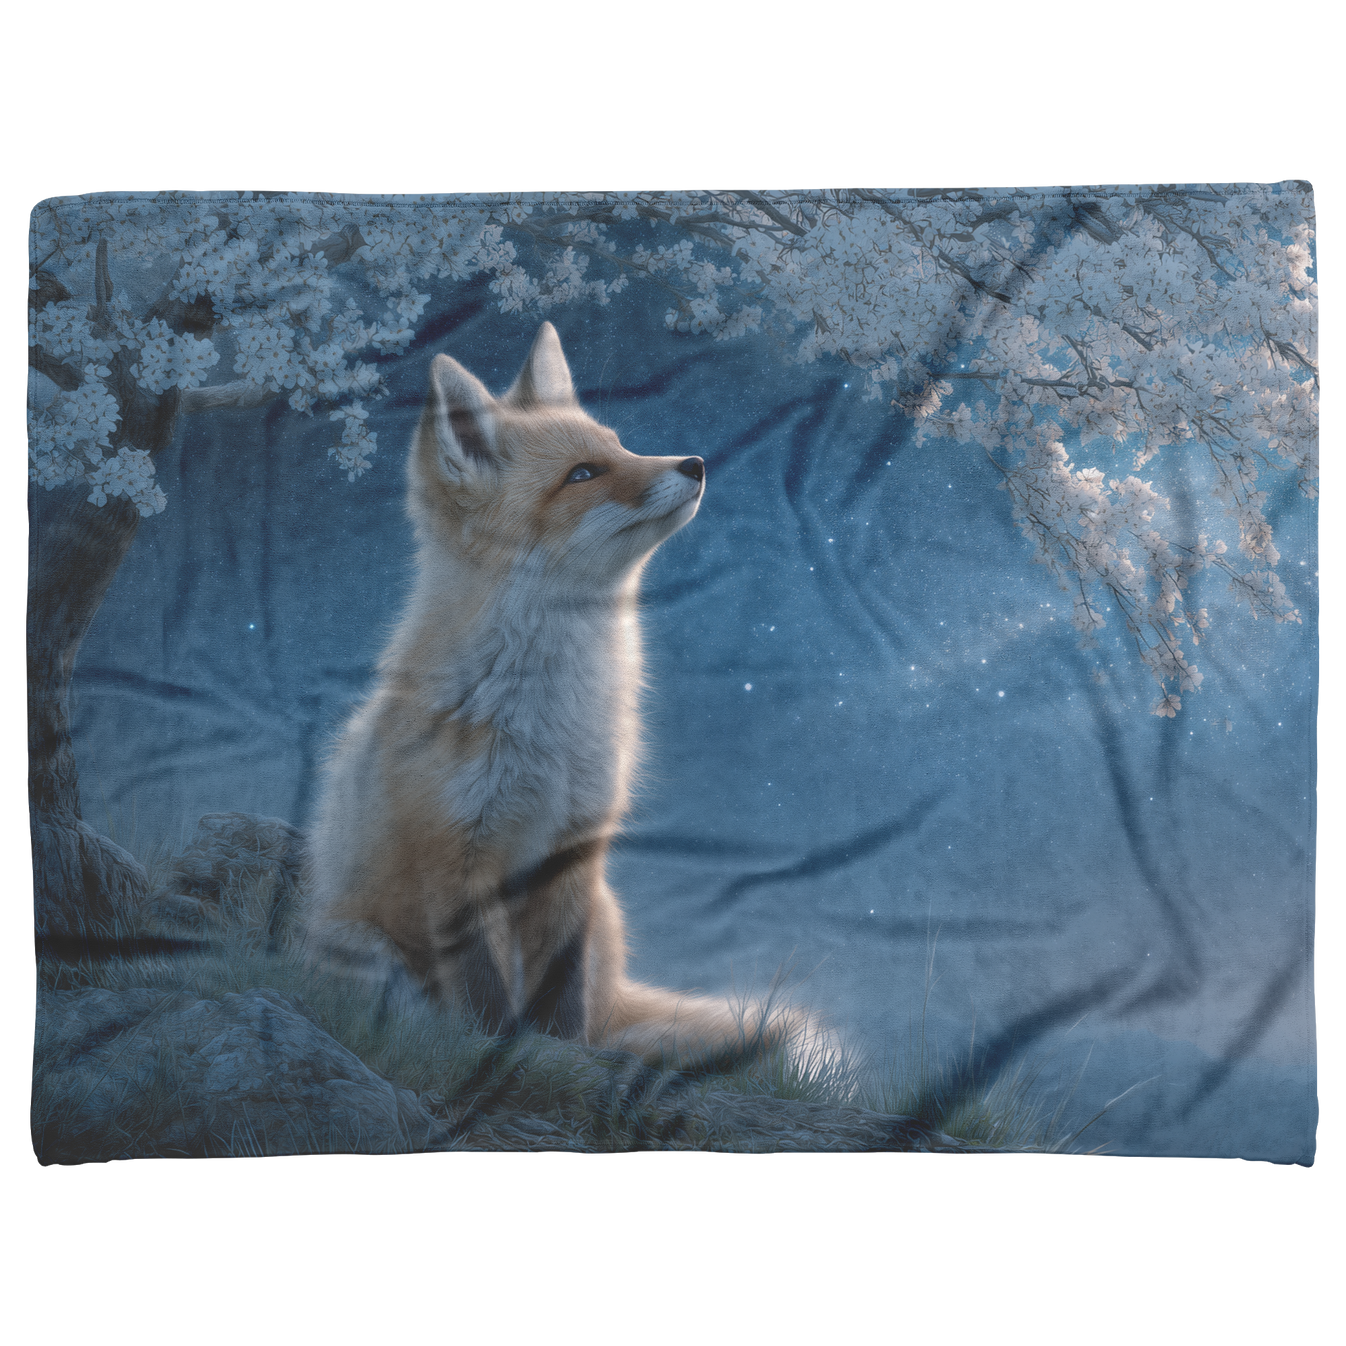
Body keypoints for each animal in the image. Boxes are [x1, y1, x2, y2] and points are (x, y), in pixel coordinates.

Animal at [304, 322, 810, 1070]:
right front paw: (492, 1059)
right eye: (582, 475)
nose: (695, 463)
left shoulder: (575, 849)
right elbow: (484, 992)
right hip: (355, 947)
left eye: (621, 446)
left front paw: (562, 1057)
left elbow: (561, 990)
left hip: (605, 915)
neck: (552, 722)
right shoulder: (453, 855)